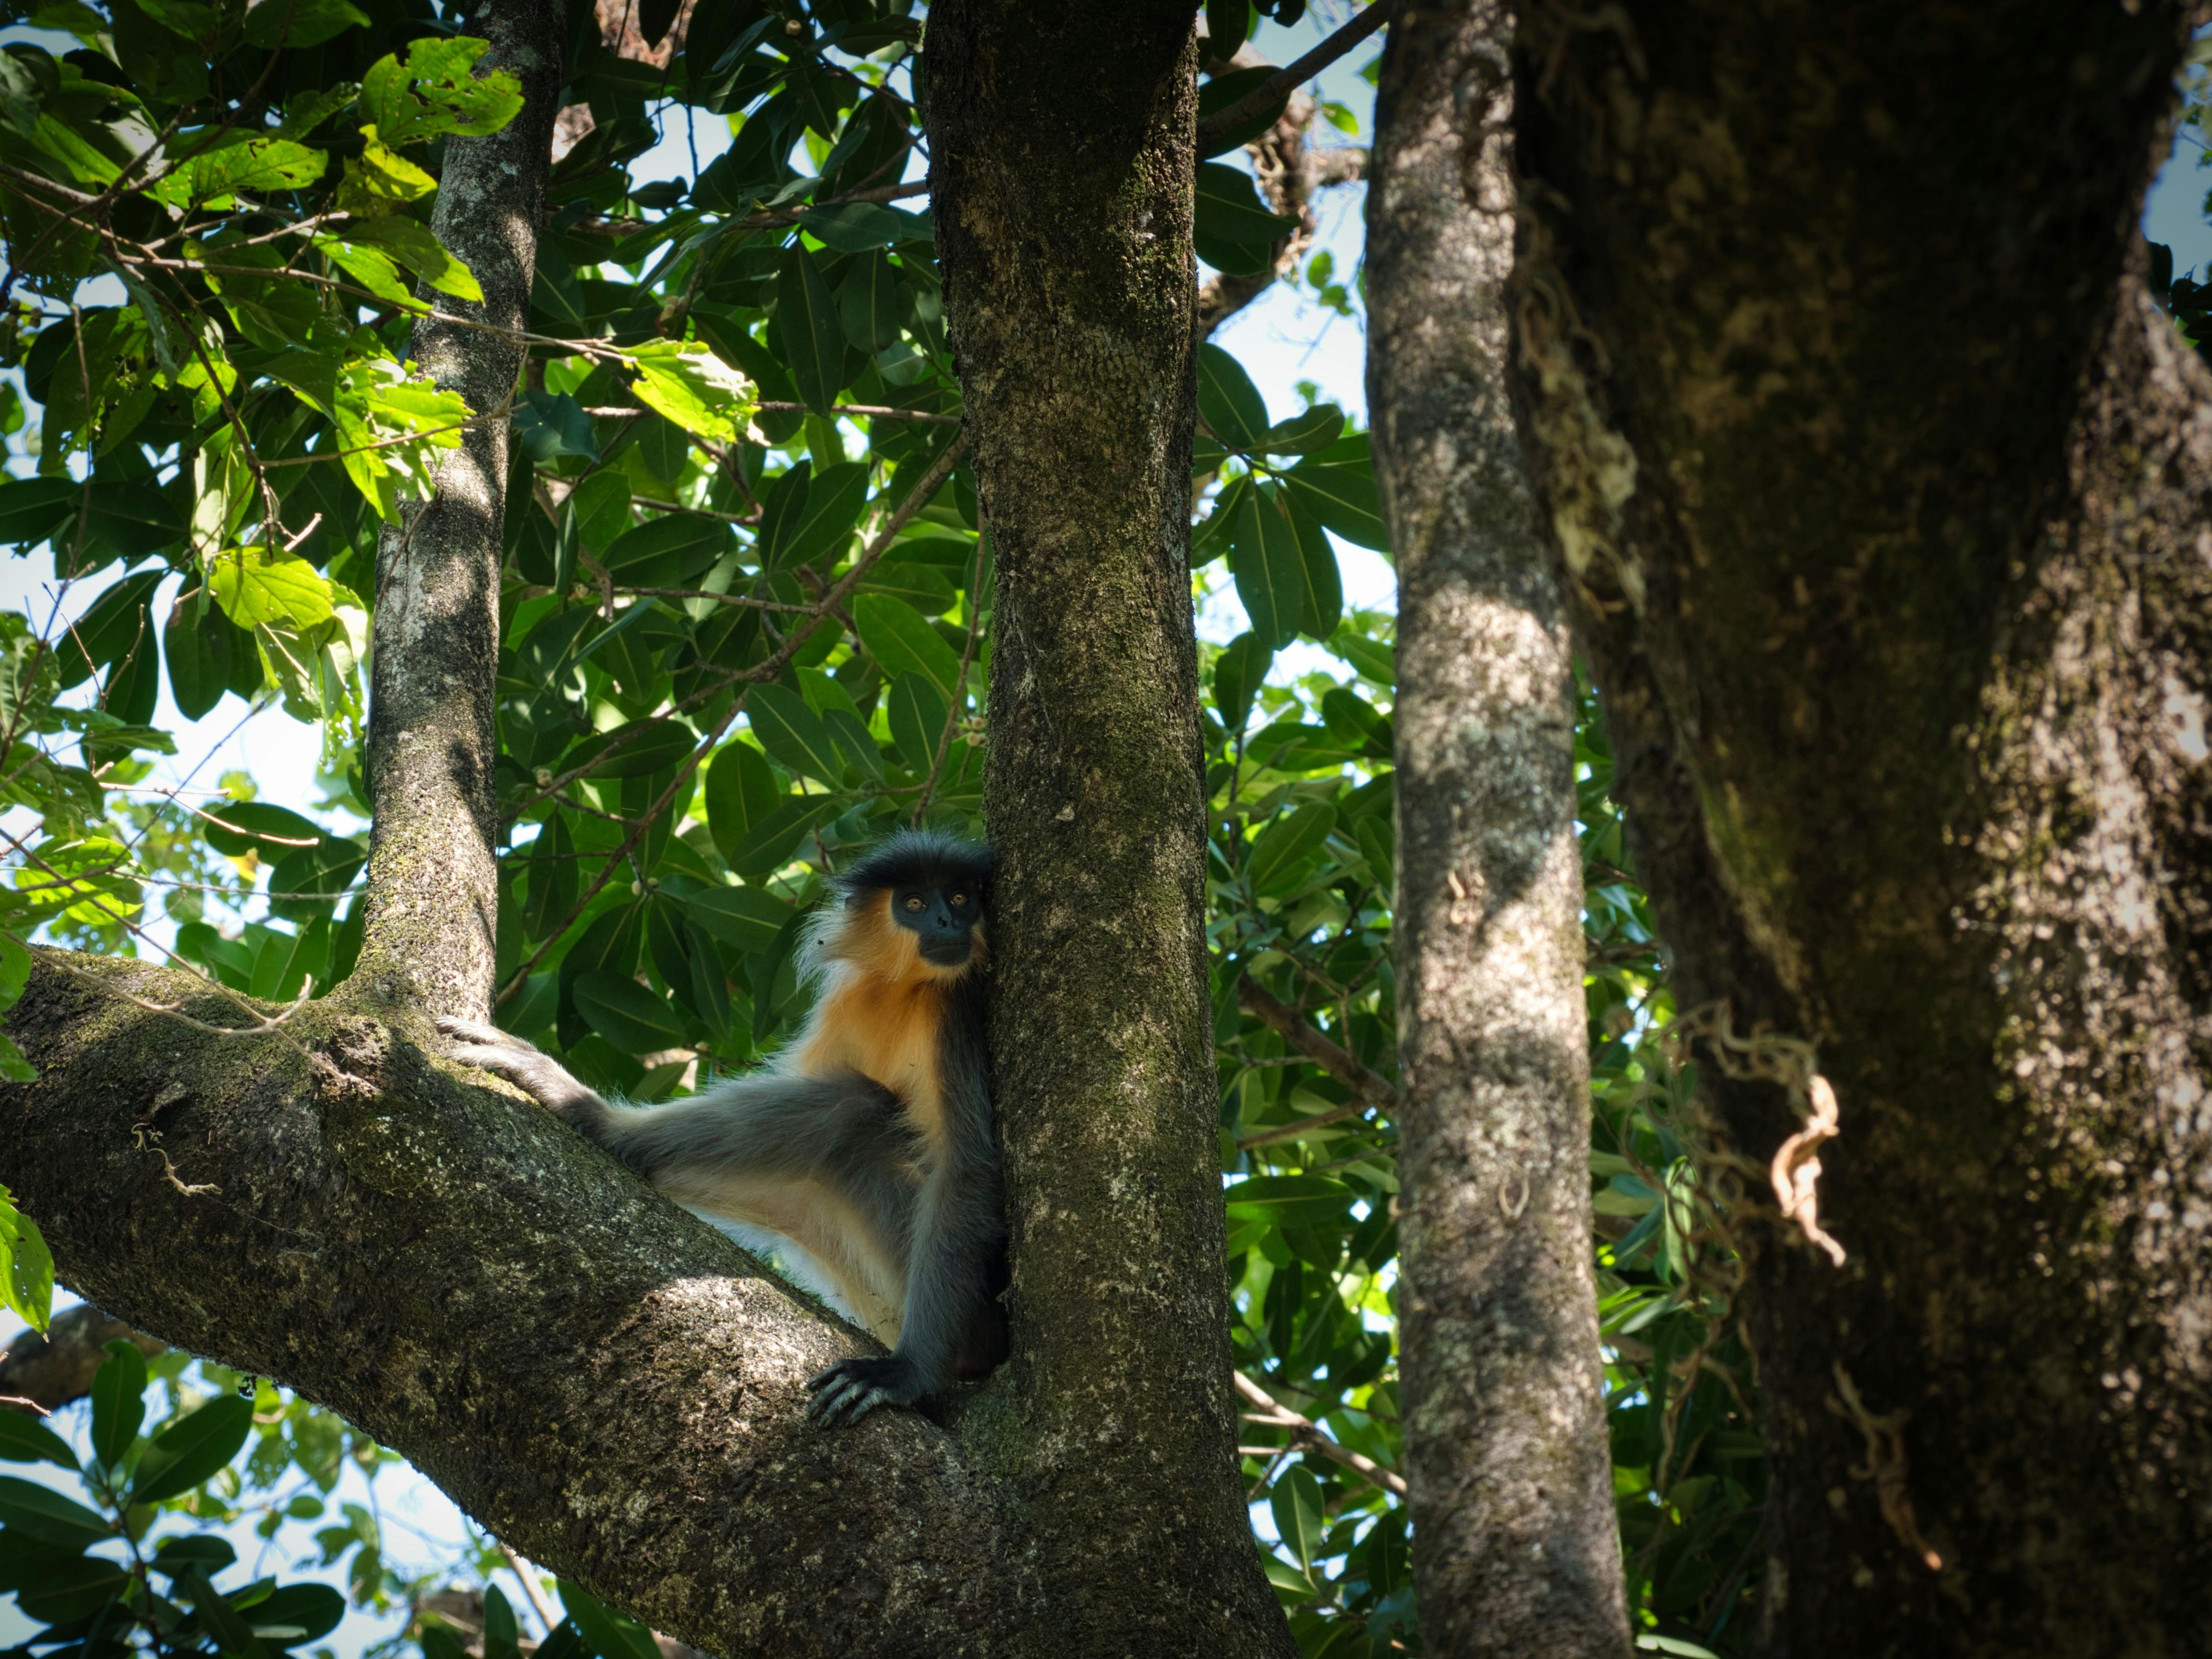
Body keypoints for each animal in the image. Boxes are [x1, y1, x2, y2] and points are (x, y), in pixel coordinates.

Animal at [438, 831, 1006, 1427]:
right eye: (914, 903)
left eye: (962, 897)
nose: (948, 921)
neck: (903, 990)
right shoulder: (847, 1003)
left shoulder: (955, 1015)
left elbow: (966, 1168)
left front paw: (907, 1374)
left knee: (851, 1109)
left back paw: (596, 1119)